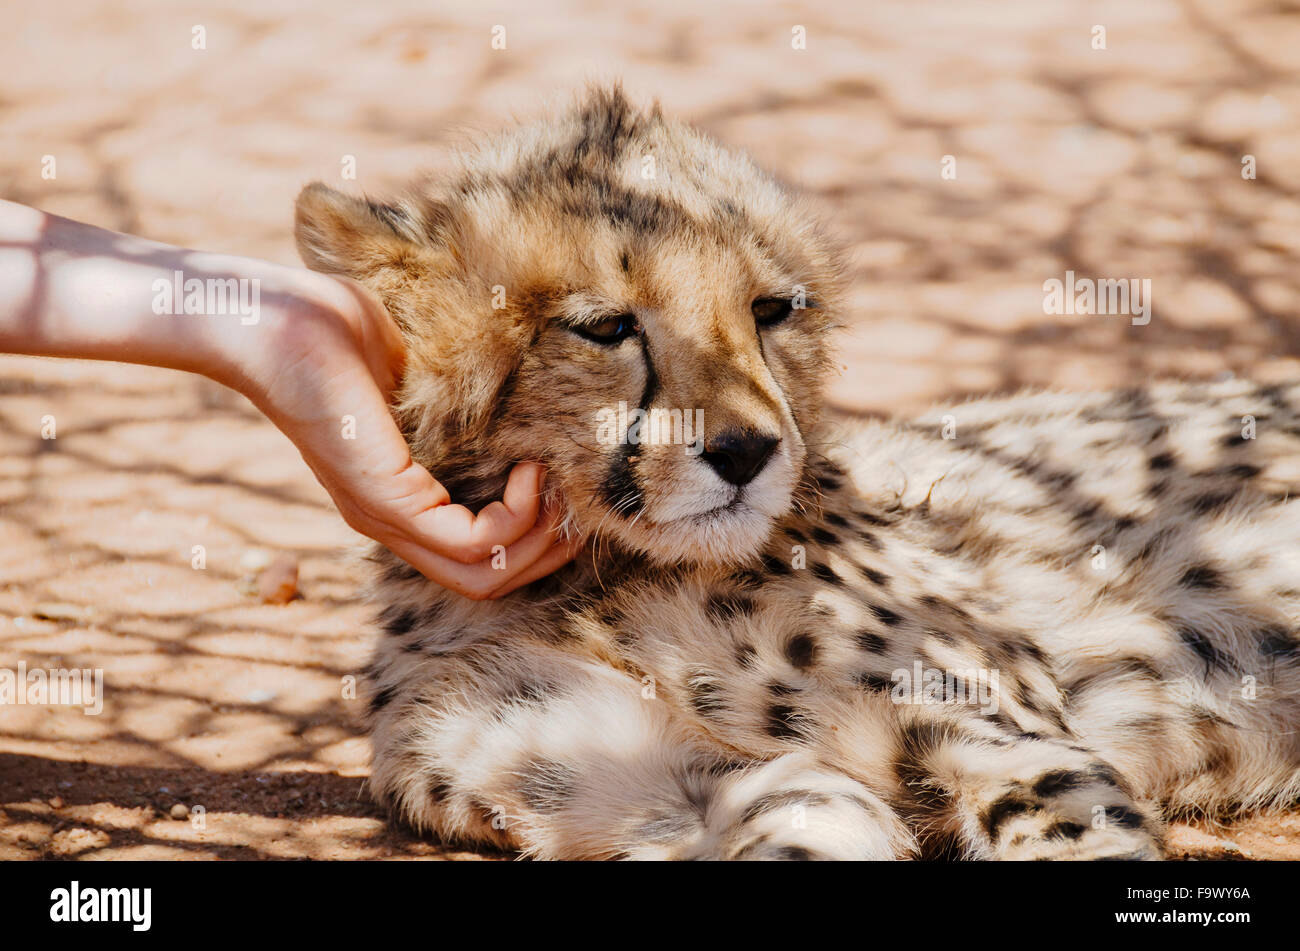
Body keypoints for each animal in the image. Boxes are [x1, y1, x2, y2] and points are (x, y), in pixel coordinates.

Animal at [294, 85, 1300, 860]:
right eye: (605, 325)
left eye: (771, 309)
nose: (745, 451)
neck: (588, 580)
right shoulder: (695, 787)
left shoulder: (1013, 745)